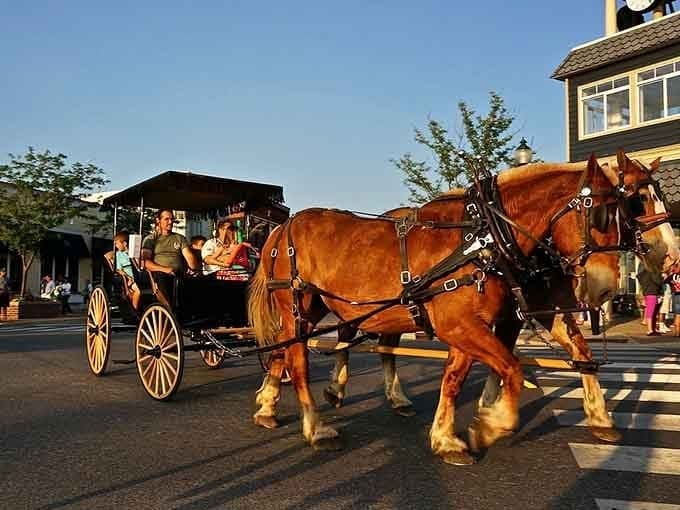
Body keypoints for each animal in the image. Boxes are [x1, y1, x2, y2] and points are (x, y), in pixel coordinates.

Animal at [248, 151, 679, 465]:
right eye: (628, 204)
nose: (605, 287)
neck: (487, 237)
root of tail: (280, 228)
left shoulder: (494, 318)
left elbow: (459, 377)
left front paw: (449, 436)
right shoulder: (463, 323)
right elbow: (510, 366)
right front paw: (490, 424)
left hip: (323, 310)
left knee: (289, 353)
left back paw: (272, 405)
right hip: (297, 306)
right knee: (298, 360)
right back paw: (316, 427)